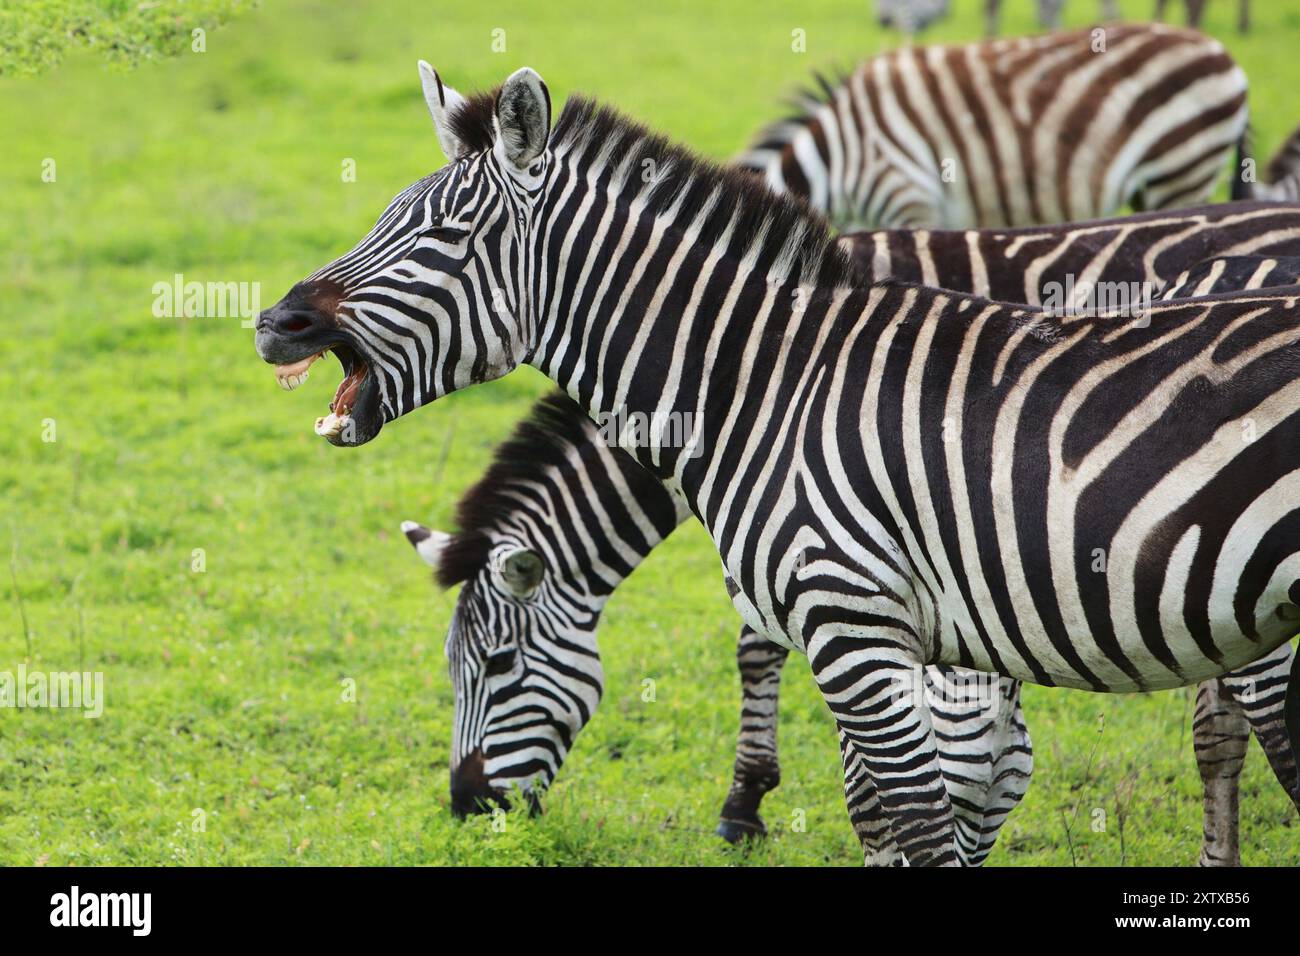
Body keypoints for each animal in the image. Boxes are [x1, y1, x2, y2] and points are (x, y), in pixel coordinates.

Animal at [254, 66, 1300, 864]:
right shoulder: (939, 613)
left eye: (499, 665)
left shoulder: (854, 605)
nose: (276, 323)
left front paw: (744, 805)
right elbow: (931, 789)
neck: (763, 377)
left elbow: (892, 774)